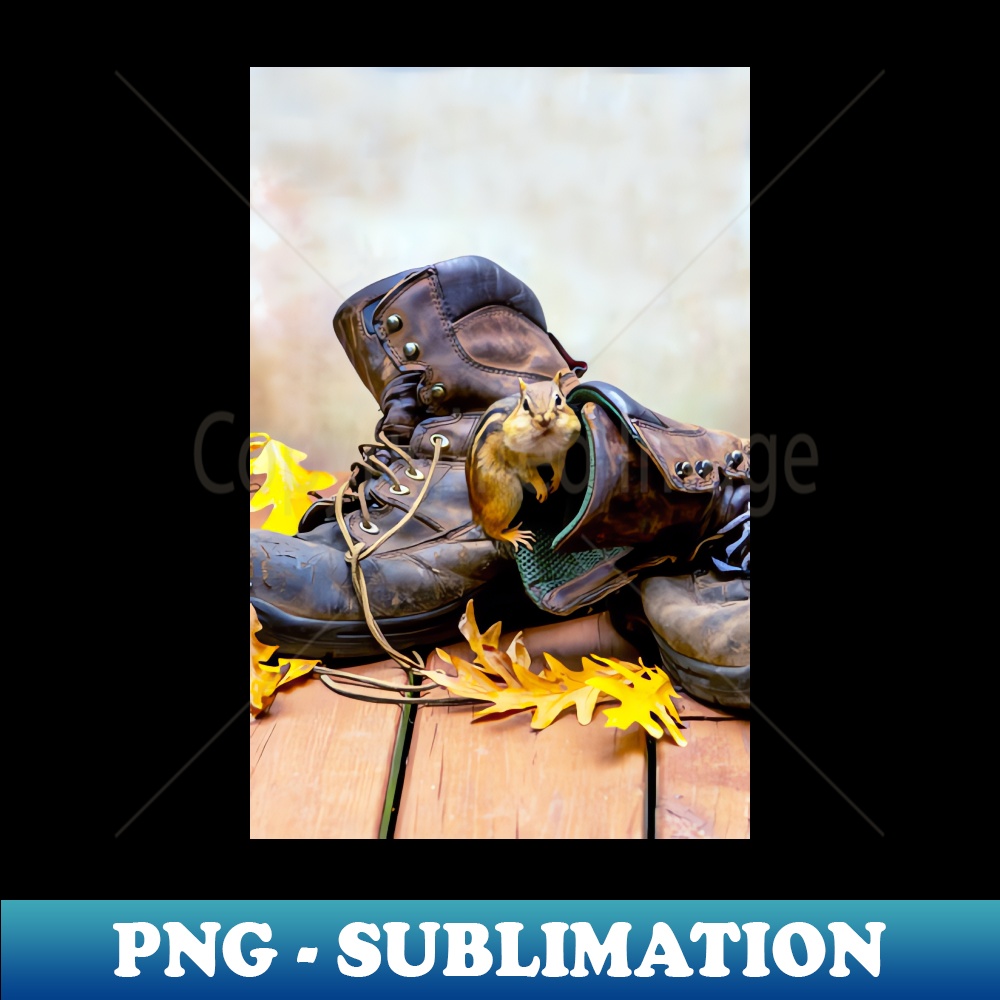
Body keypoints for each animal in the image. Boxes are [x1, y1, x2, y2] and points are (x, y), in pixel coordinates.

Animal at [467, 369, 582, 552]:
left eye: (559, 399)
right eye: (525, 405)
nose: (544, 419)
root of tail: (475, 513)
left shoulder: (559, 452)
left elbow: (558, 466)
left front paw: (555, 481)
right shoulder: (515, 456)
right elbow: (528, 472)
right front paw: (541, 487)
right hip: (508, 493)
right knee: (491, 530)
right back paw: (512, 535)